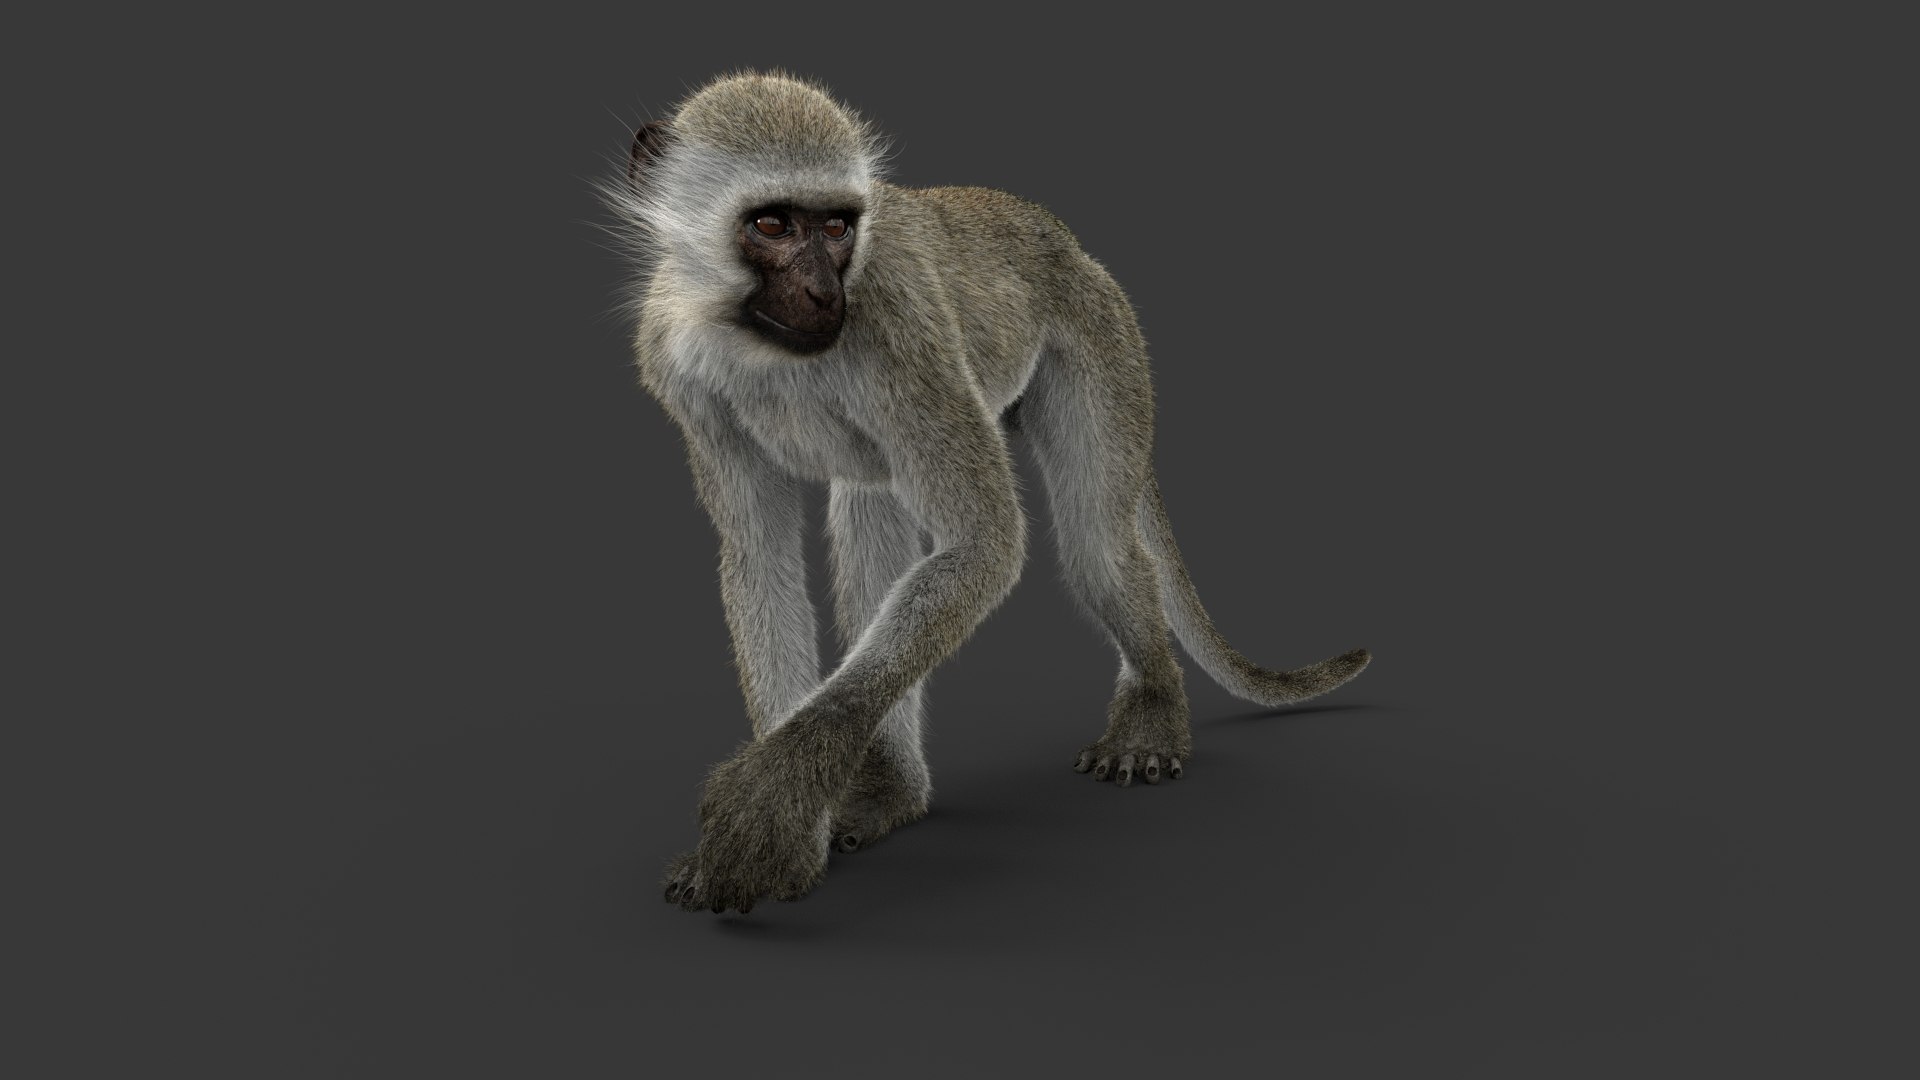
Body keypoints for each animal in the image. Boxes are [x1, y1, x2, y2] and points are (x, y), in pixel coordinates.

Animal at [604, 72, 1371, 915]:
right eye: (772, 223)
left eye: (837, 227)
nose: (821, 291)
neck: (757, 338)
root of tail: (1063, 239)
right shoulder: (676, 364)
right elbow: (760, 557)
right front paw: (802, 827)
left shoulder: (899, 328)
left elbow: (986, 543)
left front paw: (775, 799)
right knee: (873, 514)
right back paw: (892, 793)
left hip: (1100, 337)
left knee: (1096, 546)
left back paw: (1152, 711)